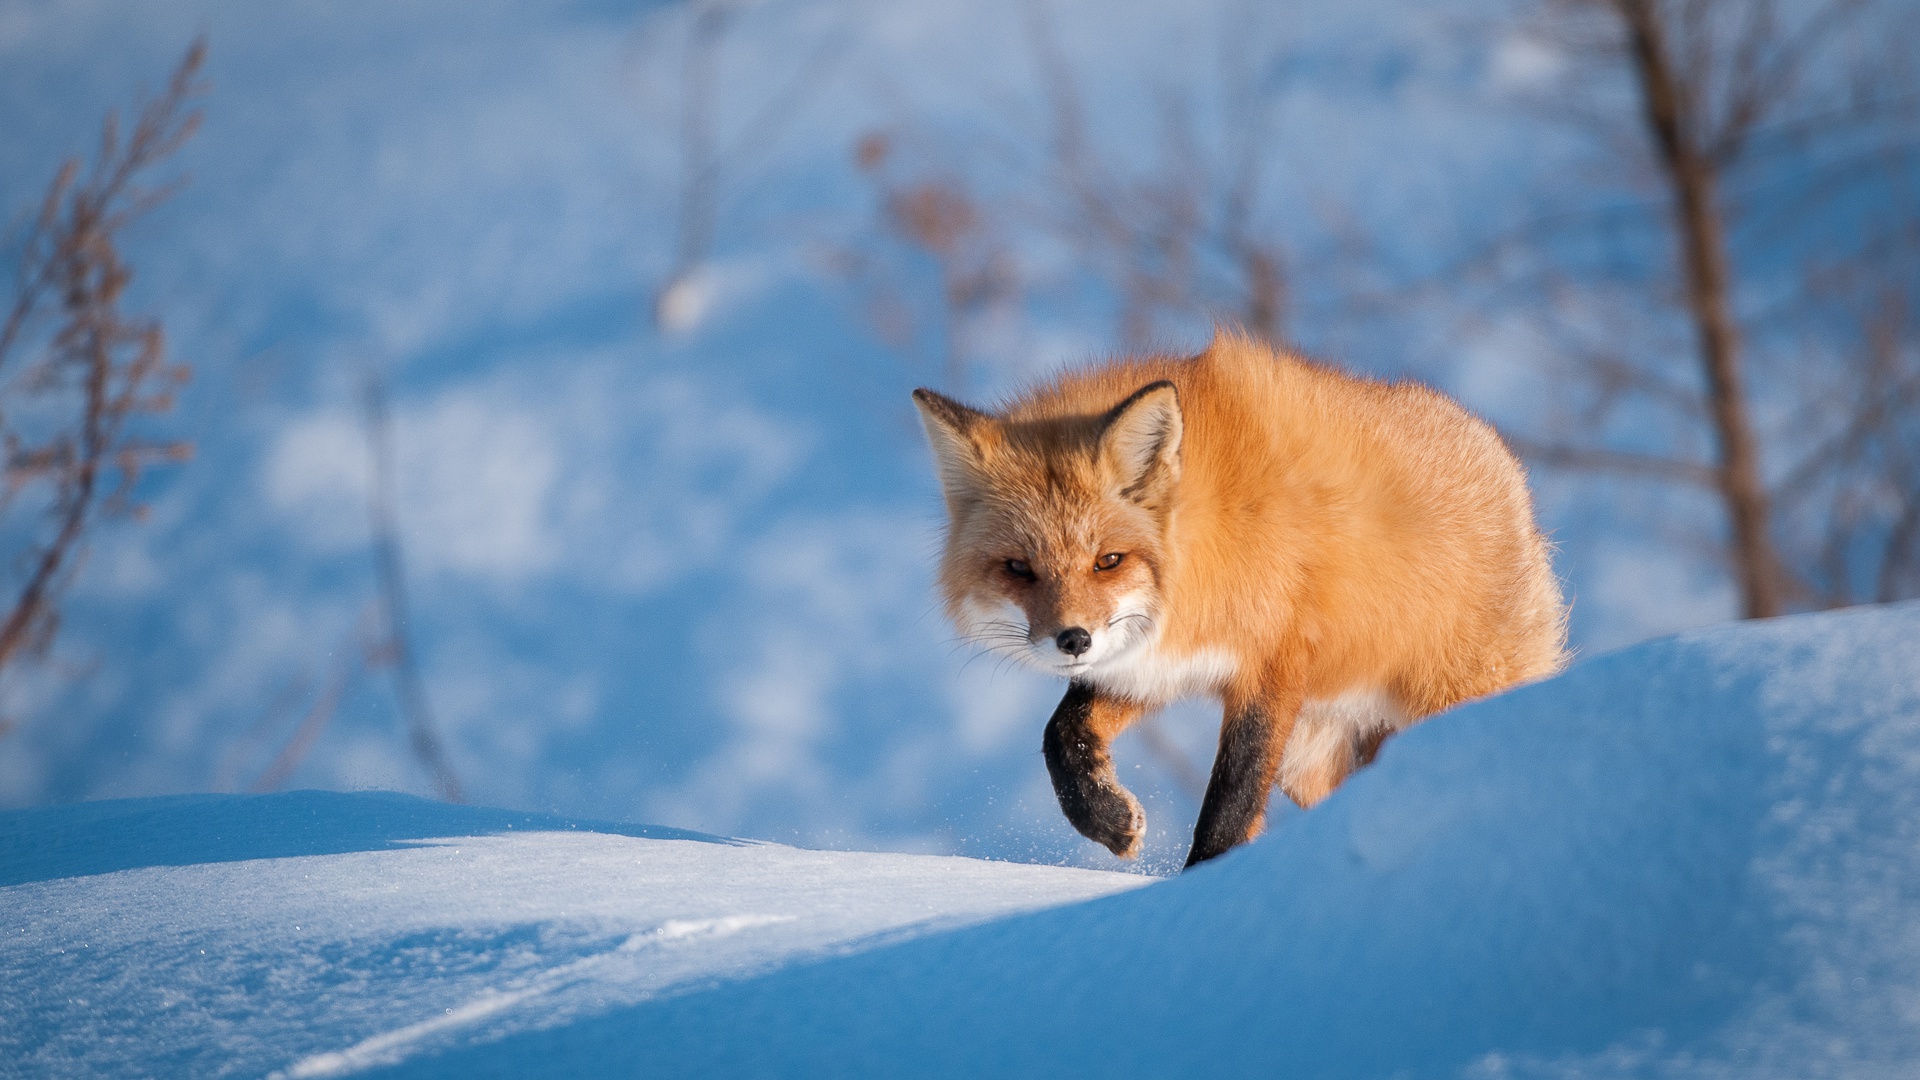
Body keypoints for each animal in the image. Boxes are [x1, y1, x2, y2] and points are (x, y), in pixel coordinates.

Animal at [913, 331, 1568, 868]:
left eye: (1108, 560)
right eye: (1018, 569)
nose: (1072, 640)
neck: (1209, 531)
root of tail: (1505, 464)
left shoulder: (1271, 666)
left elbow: (1232, 798)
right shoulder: (1156, 661)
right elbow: (1060, 735)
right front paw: (1107, 819)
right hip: (1309, 760)